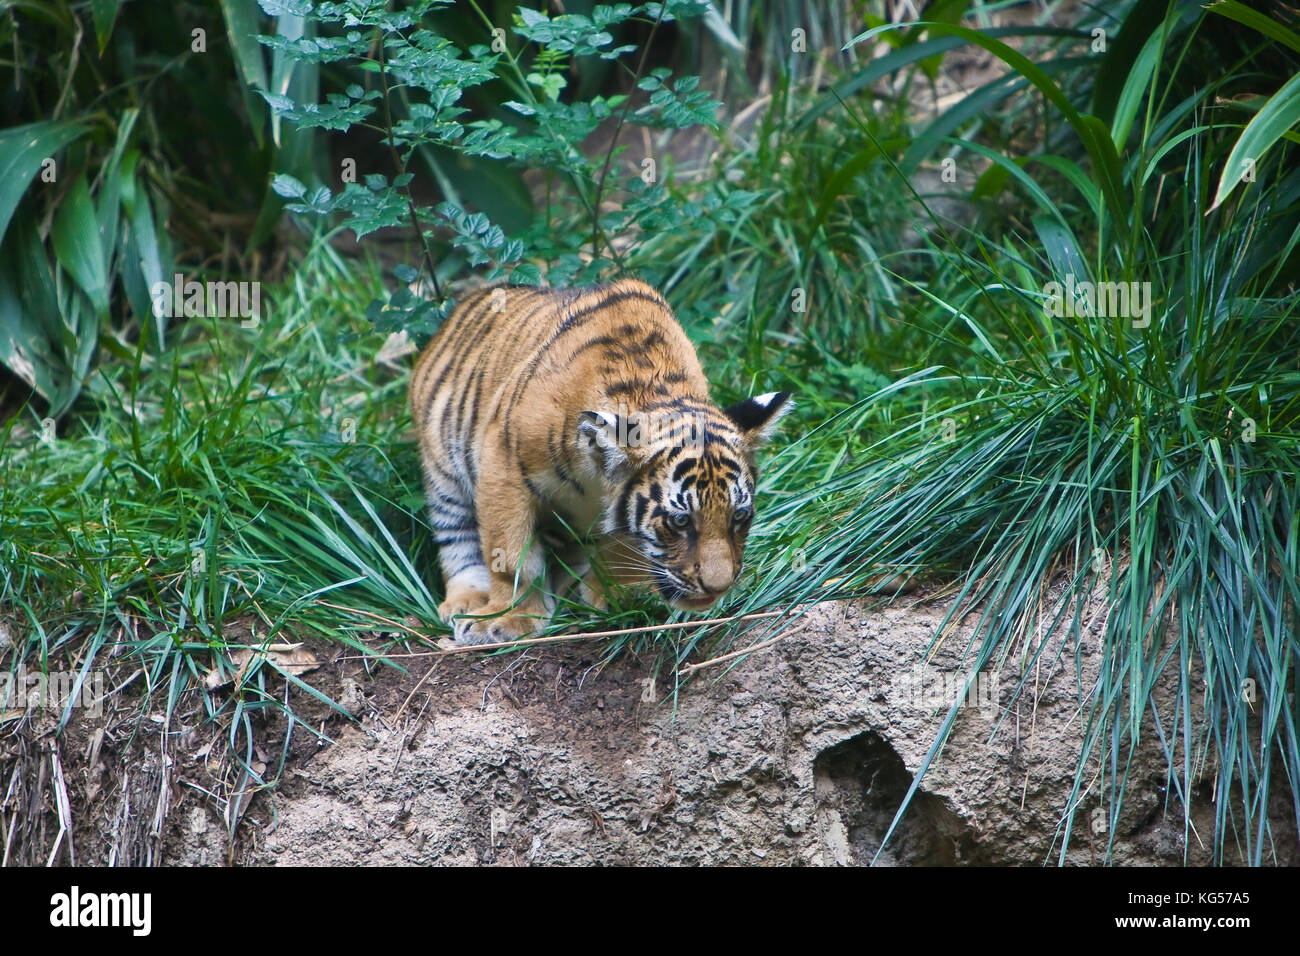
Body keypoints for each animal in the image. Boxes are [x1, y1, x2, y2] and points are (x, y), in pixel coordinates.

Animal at [408, 278, 791, 645]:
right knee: (457, 539)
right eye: (680, 521)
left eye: (740, 516)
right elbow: (512, 556)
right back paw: (468, 601)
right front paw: (510, 620)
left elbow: (621, 547)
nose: (718, 587)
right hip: (444, 473)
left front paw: (616, 597)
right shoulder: (503, 467)